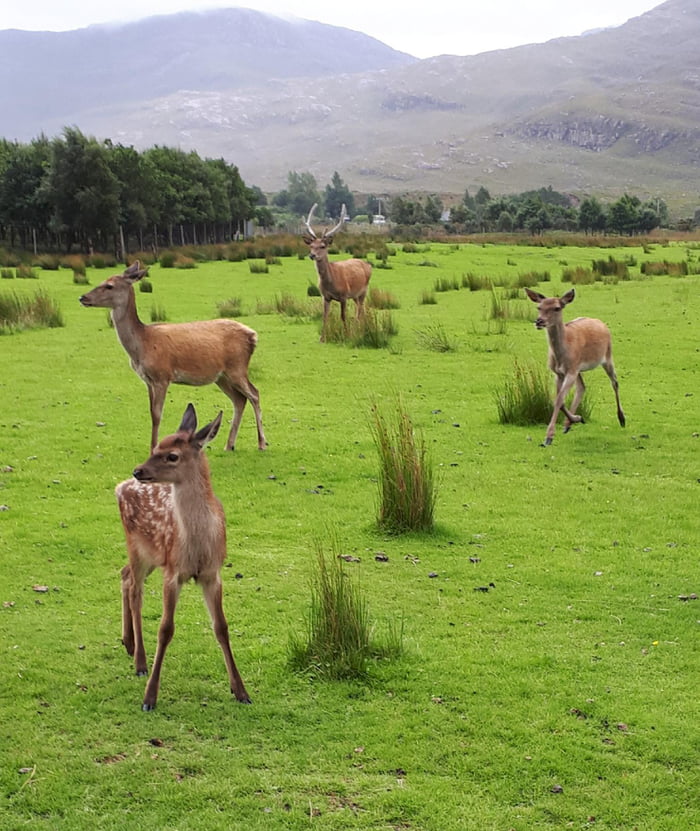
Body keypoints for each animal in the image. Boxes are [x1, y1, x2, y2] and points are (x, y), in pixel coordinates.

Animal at [79, 261, 266, 453]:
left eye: (109, 285)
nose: (83, 297)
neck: (142, 345)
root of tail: (253, 336)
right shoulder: (147, 380)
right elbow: (151, 412)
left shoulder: (162, 376)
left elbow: (157, 415)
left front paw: (153, 448)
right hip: (221, 377)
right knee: (239, 399)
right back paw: (229, 445)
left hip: (237, 367)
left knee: (254, 394)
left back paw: (261, 443)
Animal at [116, 403, 251, 711]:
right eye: (156, 446)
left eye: (172, 455)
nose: (138, 470)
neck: (199, 544)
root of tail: (120, 486)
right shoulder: (173, 571)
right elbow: (166, 629)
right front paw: (150, 698)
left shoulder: (213, 574)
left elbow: (222, 627)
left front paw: (241, 691)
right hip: (138, 547)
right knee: (135, 590)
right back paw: (140, 661)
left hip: (151, 555)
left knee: (124, 575)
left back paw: (129, 643)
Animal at [302, 203, 372, 342]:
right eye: (311, 246)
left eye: (323, 246)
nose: (312, 255)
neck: (332, 283)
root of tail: (368, 265)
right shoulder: (325, 297)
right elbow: (325, 316)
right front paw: (322, 338)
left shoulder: (344, 295)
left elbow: (343, 316)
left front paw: (347, 335)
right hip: (355, 295)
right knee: (359, 309)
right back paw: (358, 327)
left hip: (364, 290)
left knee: (361, 308)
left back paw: (359, 329)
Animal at [525, 288, 625, 446]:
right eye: (539, 307)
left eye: (557, 308)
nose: (539, 321)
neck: (561, 355)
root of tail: (601, 322)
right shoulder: (559, 373)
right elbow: (558, 399)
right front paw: (577, 418)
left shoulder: (571, 370)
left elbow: (559, 399)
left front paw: (548, 437)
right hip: (578, 369)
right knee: (582, 387)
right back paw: (568, 424)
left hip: (607, 357)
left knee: (615, 382)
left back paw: (622, 419)